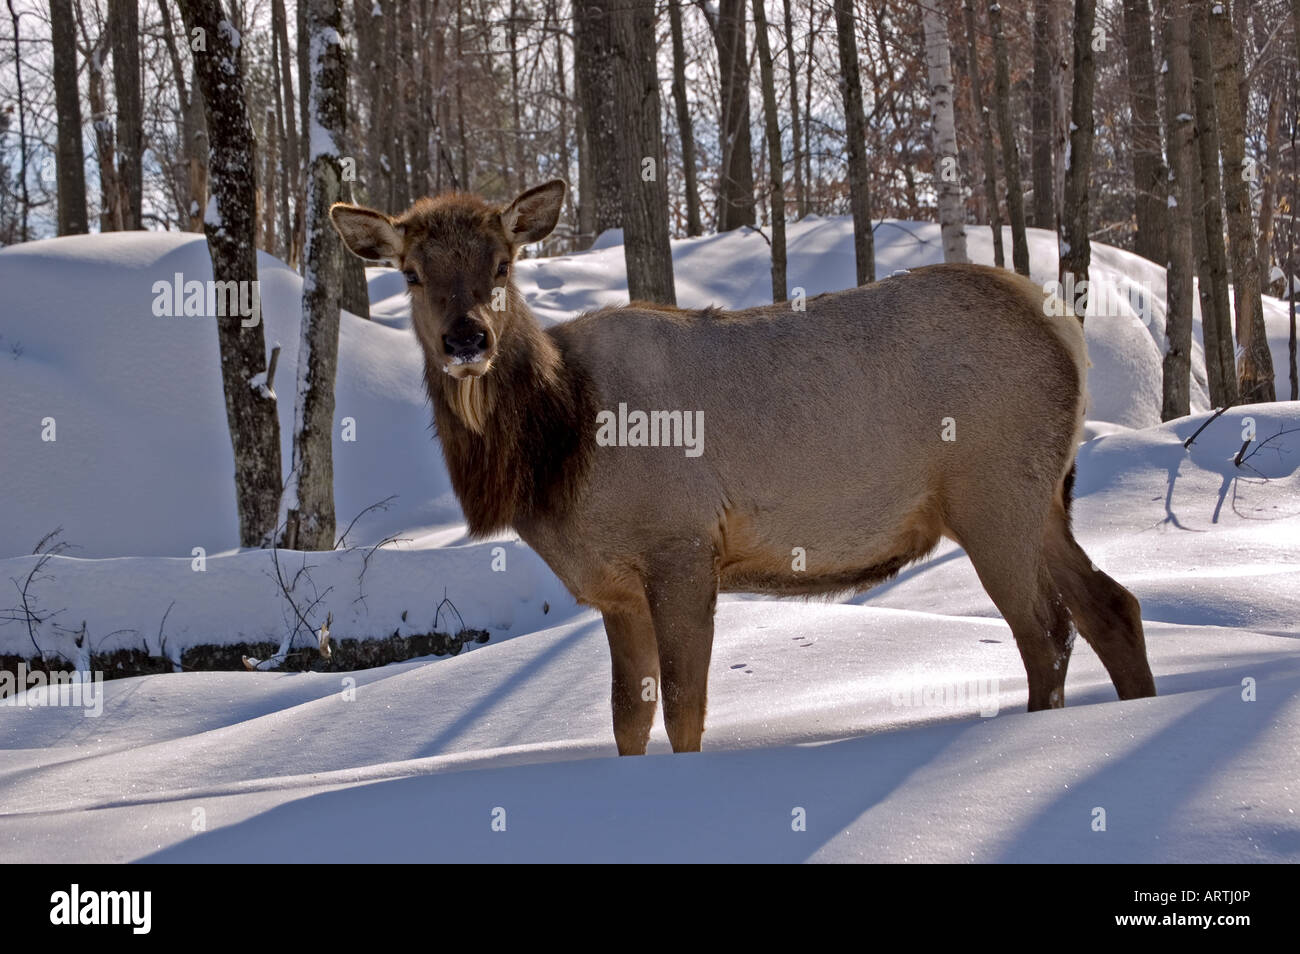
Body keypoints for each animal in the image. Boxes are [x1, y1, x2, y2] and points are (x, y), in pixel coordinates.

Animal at [329, 179, 1157, 756]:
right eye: (410, 272)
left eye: (502, 264)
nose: (466, 338)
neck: (559, 448)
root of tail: (1065, 331)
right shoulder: (614, 588)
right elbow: (627, 717)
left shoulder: (682, 548)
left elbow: (685, 709)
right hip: (1043, 495)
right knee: (1111, 605)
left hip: (993, 493)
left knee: (1045, 630)